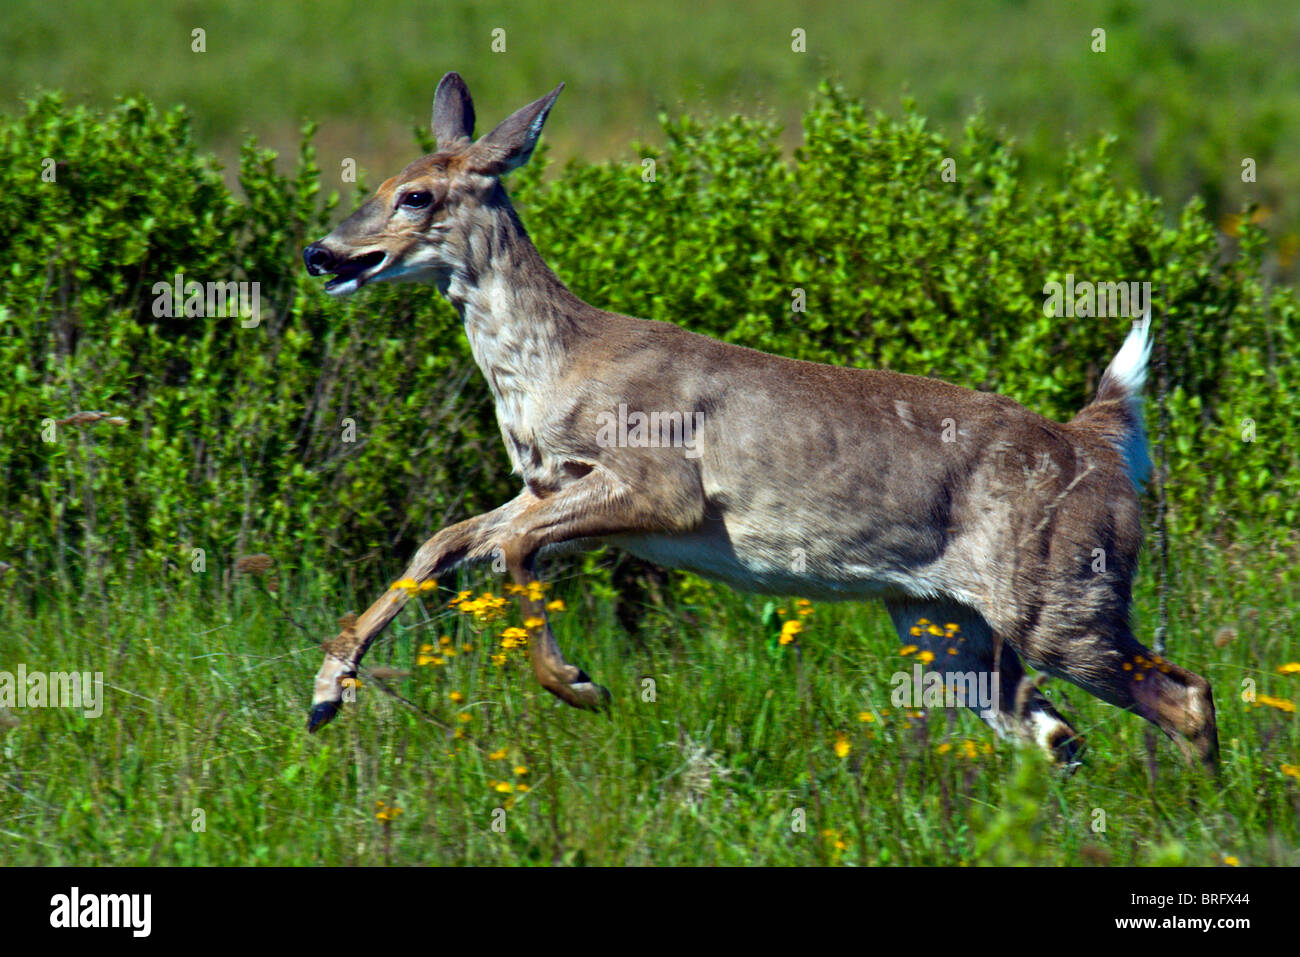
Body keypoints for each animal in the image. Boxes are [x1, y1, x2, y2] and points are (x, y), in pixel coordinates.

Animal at [301, 72, 1219, 770]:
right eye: (376, 182)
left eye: (417, 194)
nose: (320, 252)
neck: (552, 370)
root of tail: (1099, 439)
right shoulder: (543, 483)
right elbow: (444, 541)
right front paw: (324, 691)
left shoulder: (663, 485)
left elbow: (512, 548)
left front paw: (580, 684)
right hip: (943, 617)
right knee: (1049, 721)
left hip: (1062, 590)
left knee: (1186, 692)